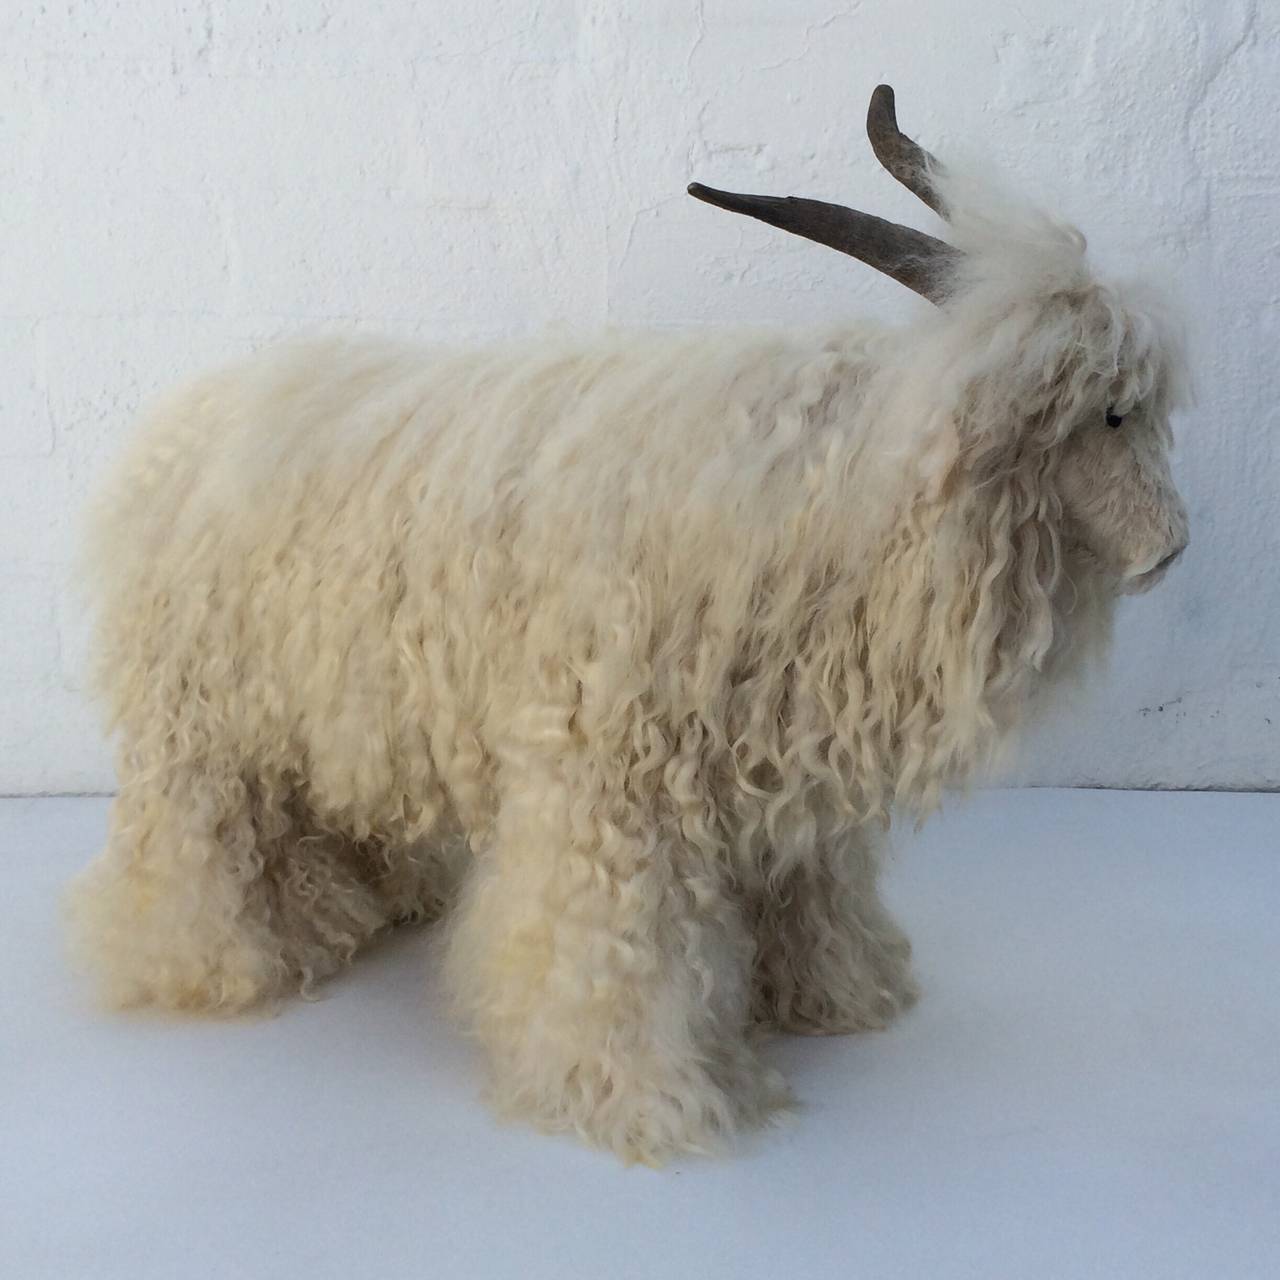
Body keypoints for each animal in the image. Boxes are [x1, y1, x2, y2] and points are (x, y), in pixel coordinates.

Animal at [69, 85, 1189, 1164]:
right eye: (1108, 415)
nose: (1171, 548)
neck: (822, 500)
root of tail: (187, 422)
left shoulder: (779, 781)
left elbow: (809, 897)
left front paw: (836, 995)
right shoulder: (606, 786)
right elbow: (617, 955)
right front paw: (648, 1096)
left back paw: (359, 903)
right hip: (198, 725)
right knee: (190, 846)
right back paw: (212, 962)